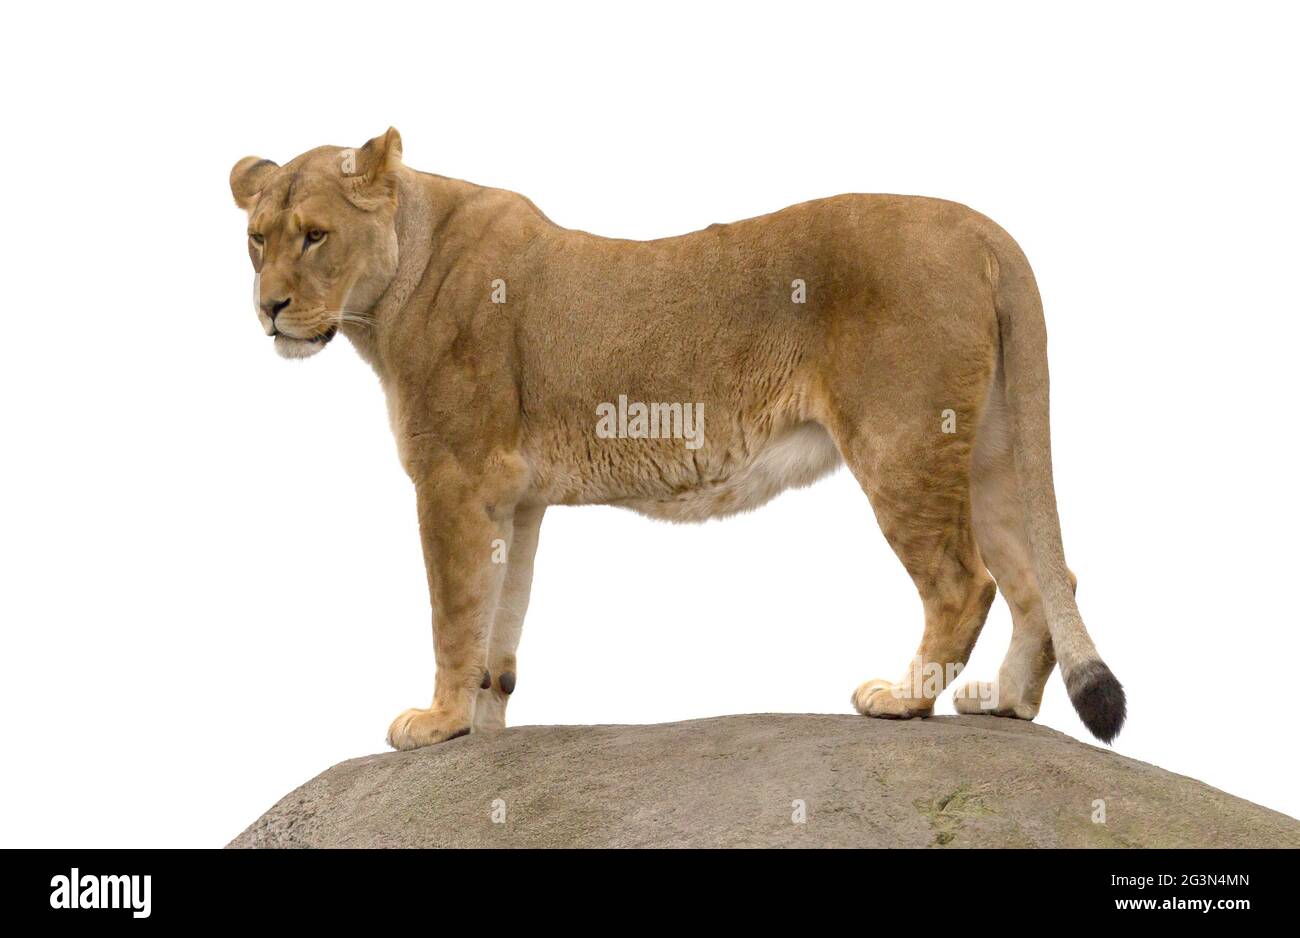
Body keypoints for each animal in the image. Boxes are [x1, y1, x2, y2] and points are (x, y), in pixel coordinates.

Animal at [230, 128, 1125, 750]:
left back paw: (902, 700)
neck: (391, 288)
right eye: (256, 237)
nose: (268, 308)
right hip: (986, 449)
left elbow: (454, 613)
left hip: (901, 442)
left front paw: (437, 722)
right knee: (1045, 577)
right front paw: (482, 726)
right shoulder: (514, 500)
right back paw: (1003, 702)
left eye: (314, 235)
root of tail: (981, 227)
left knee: (963, 583)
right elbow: (499, 626)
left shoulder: (452, 480)